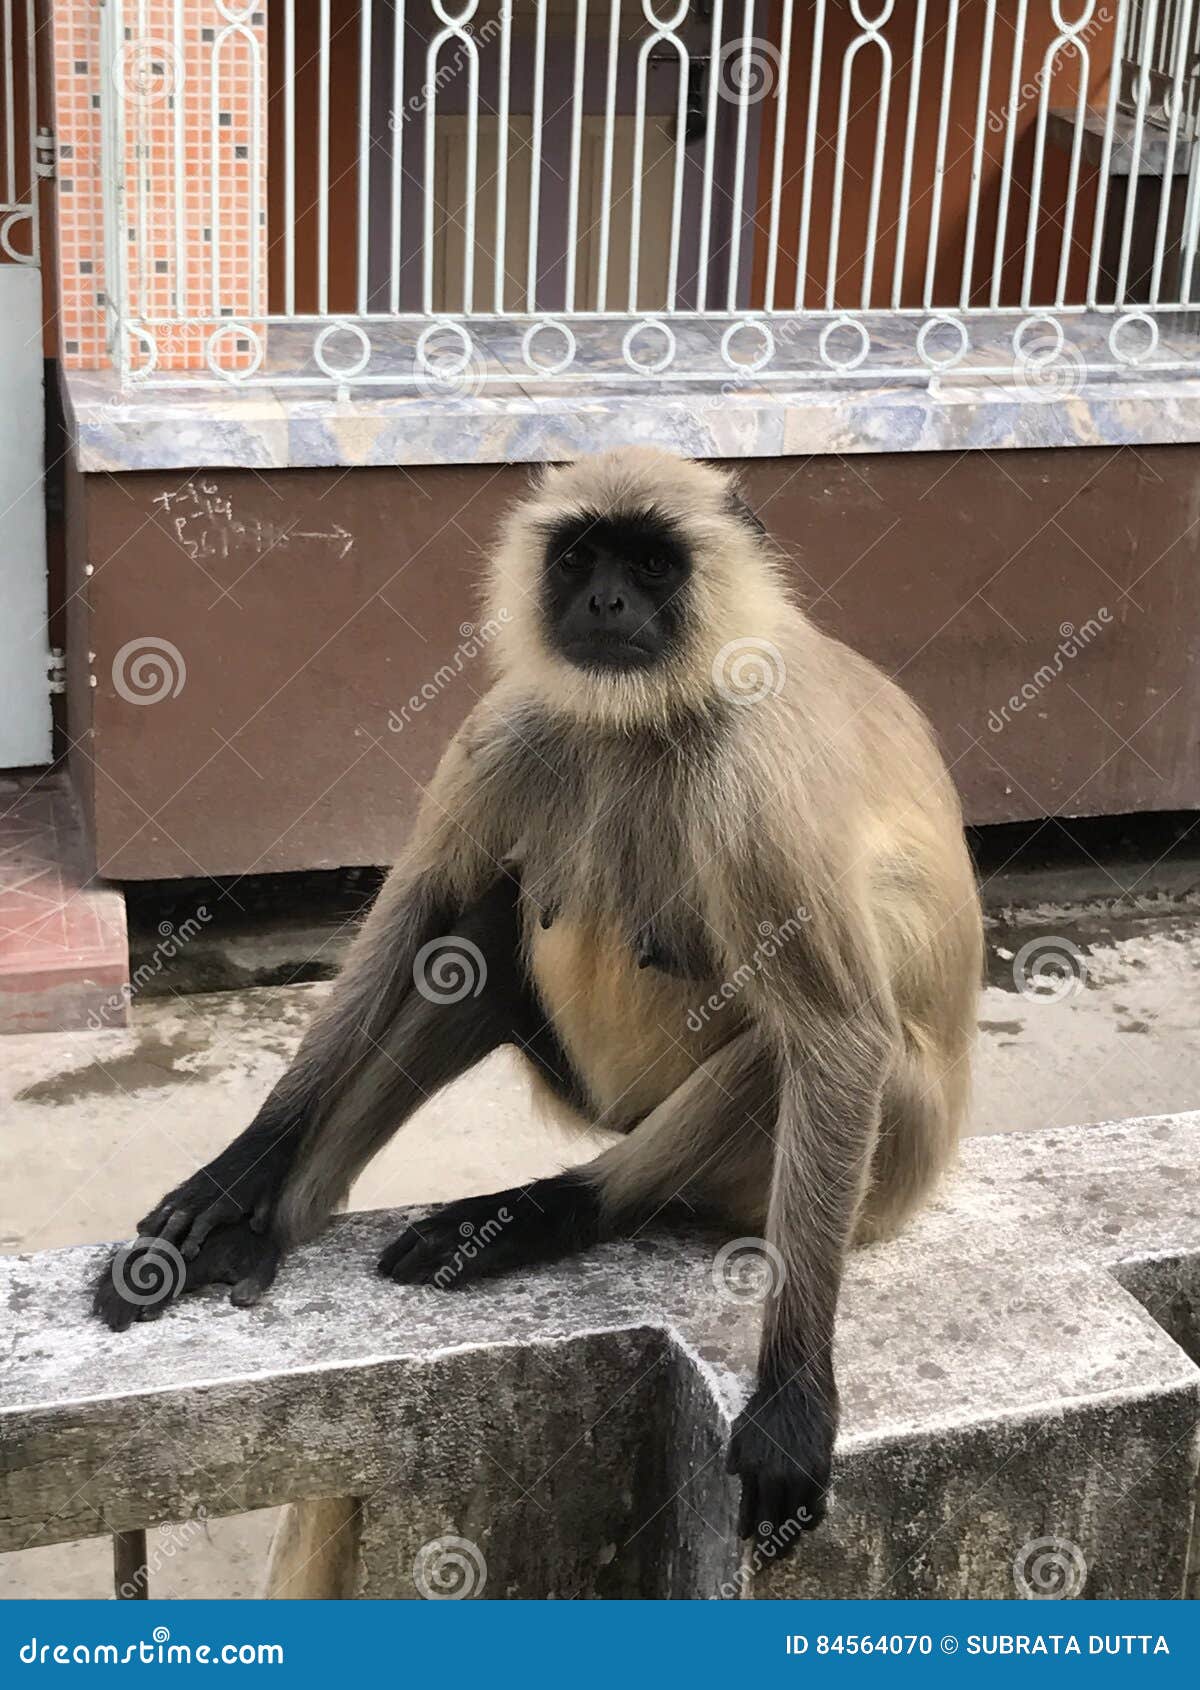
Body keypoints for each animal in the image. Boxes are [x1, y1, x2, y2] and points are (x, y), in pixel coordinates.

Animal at [93, 446, 982, 1552]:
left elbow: (839, 1033)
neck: (644, 713)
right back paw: (268, 1226)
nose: (604, 600)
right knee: (472, 944)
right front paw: (239, 1171)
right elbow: (414, 916)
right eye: (579, 558)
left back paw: (548, 1213)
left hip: (886, 1164)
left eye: (649, 563)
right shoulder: (511, 723)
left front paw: (791, 1401)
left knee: (821, 1053)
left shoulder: (756, 769)